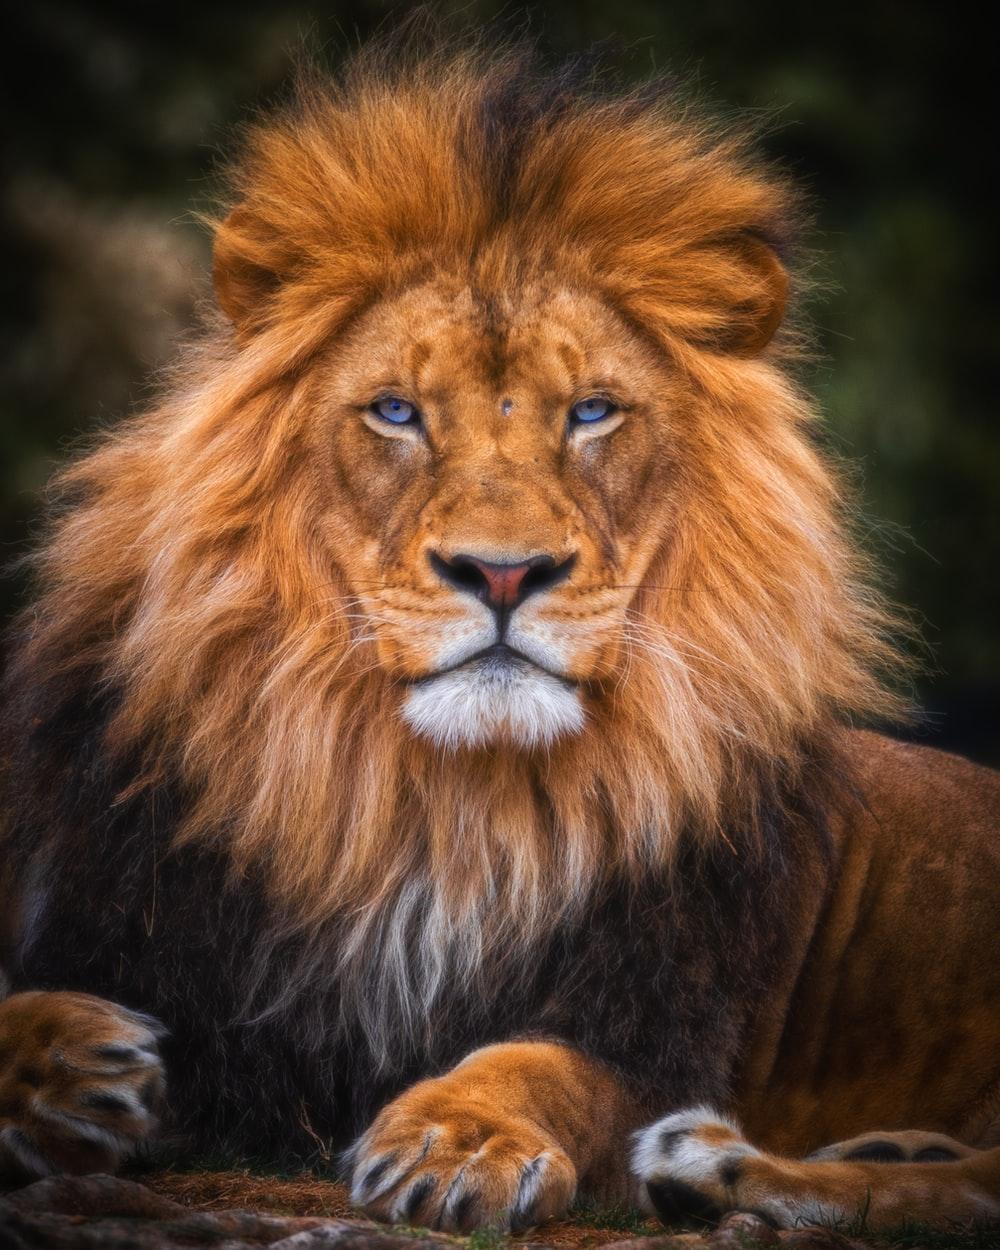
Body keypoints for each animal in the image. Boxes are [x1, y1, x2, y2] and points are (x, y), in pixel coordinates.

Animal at [1, 39, 999, 1234]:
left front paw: (457, 1137)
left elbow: (541, 1064)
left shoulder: (657, 1023)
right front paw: (70, 1062)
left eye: (592, 412)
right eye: (395, 411)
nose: (504, 572)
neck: (434, 809)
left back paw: (715, 1163)